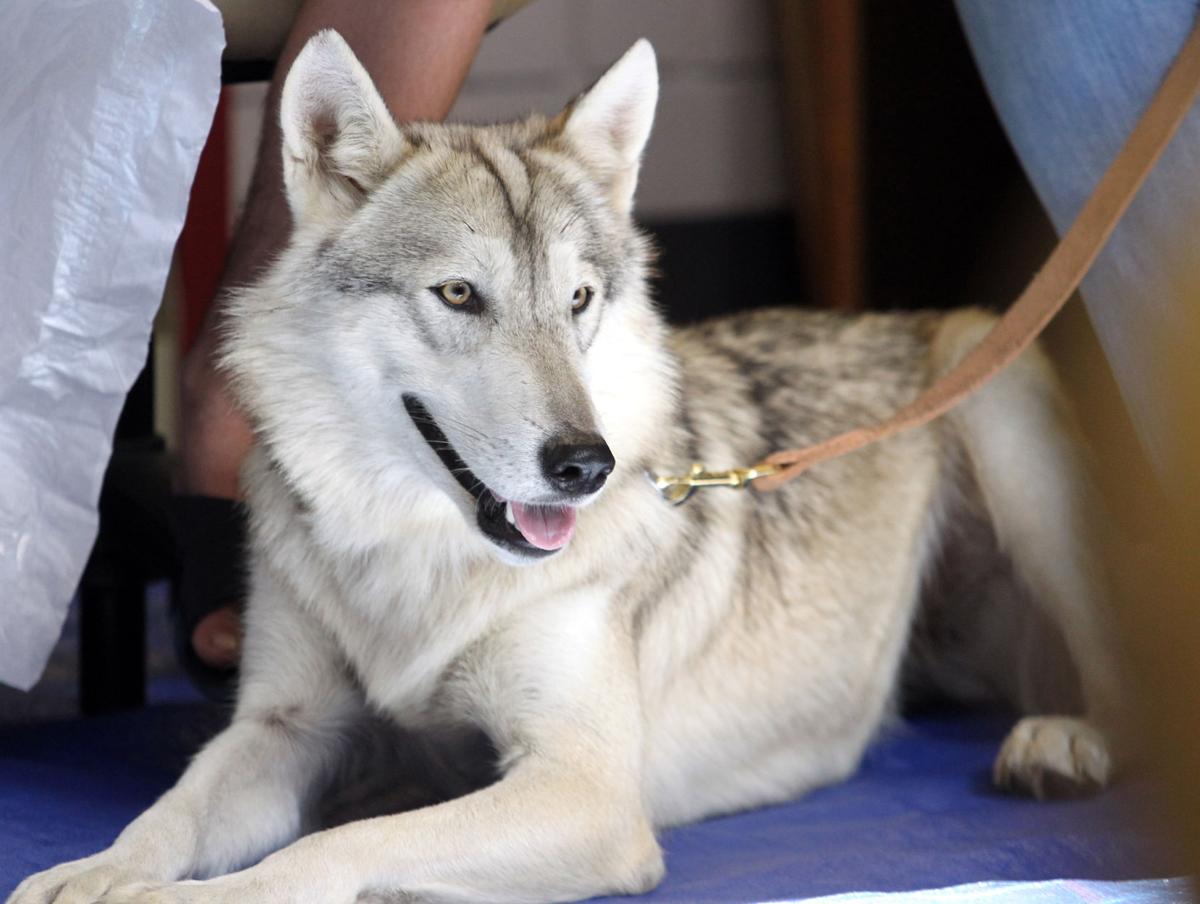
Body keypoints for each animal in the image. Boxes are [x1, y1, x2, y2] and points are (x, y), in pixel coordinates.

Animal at [11, 32, 1123, 904]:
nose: (586, 463)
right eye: (460, 294)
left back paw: (1062, 742)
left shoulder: (584, 792)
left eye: (579, 299)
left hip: (1004, 416)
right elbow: (170, 813)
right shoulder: (287, 726)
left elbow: (331, 849)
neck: (416, 558)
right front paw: (94, 873)